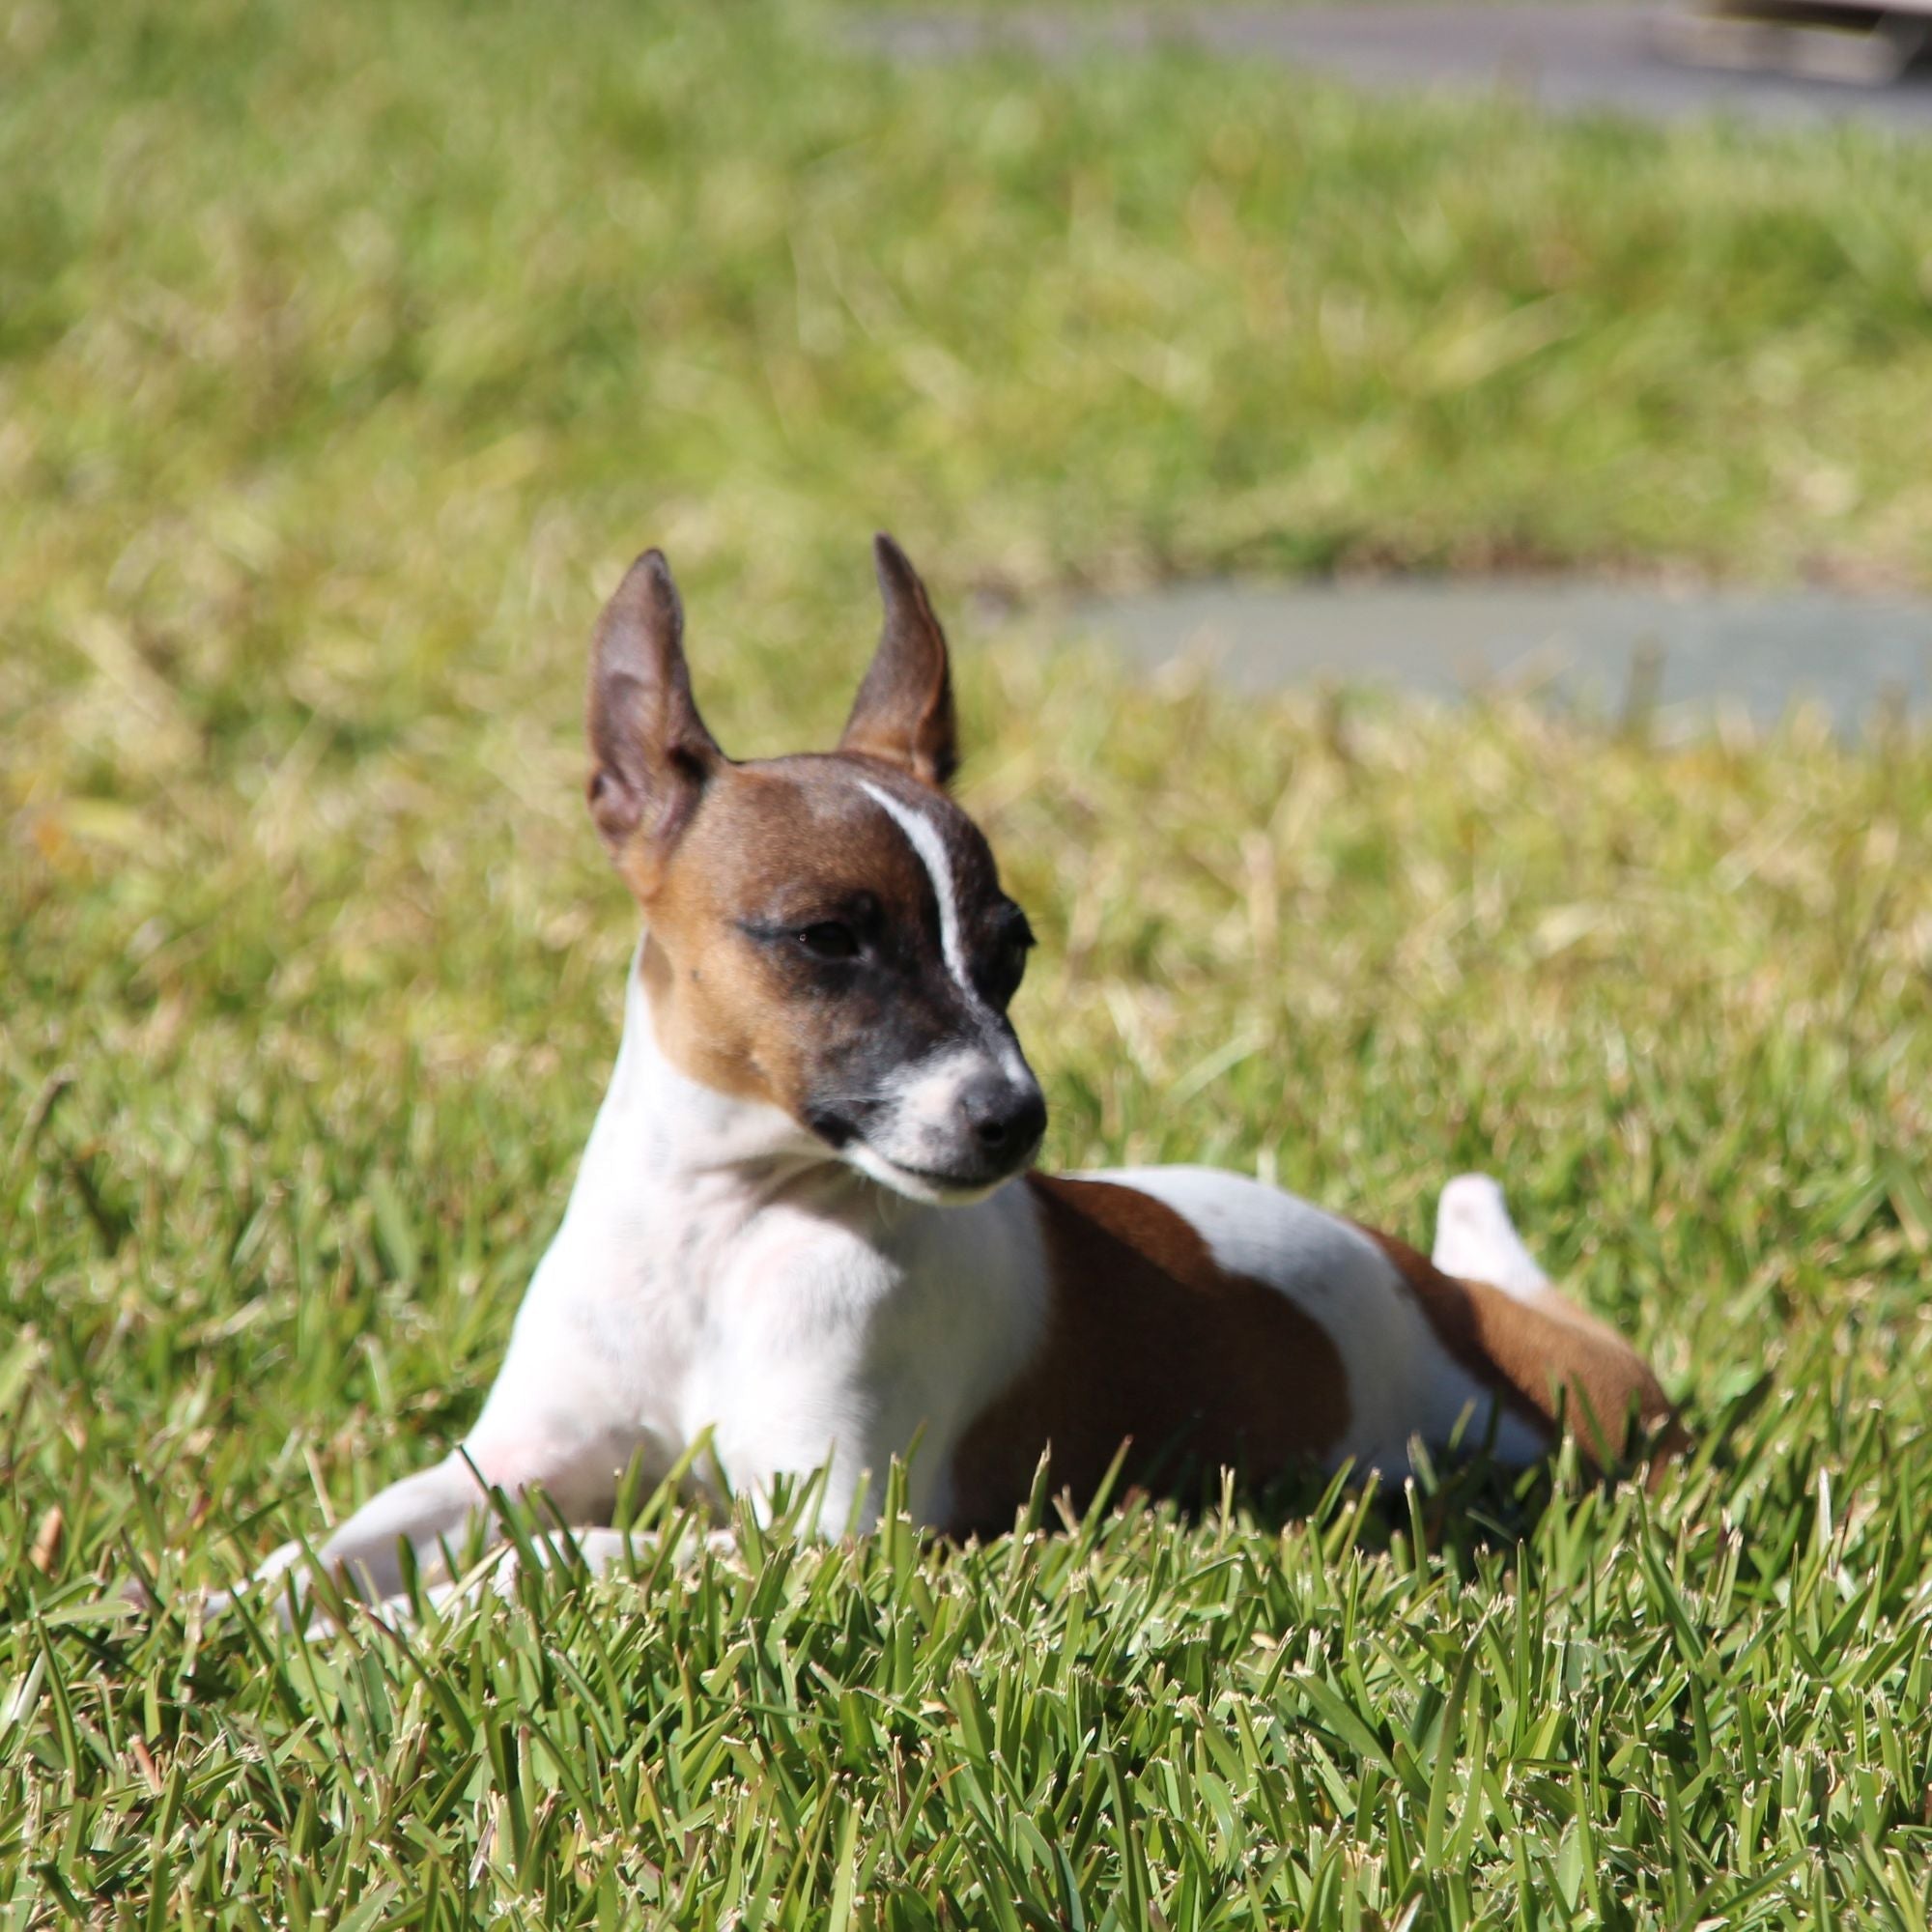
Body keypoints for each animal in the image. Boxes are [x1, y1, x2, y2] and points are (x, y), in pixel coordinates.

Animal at [242, 535, 1678, 1611]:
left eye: (1011, 949)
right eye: (828, 939)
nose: (1014, 1122)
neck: (722, 1235)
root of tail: (1447, 1296)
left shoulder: (831, 1535)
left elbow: (579, 1548)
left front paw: (434, 1613)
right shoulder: (513, 1458)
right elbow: (349, 1539)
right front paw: (234, 1610)